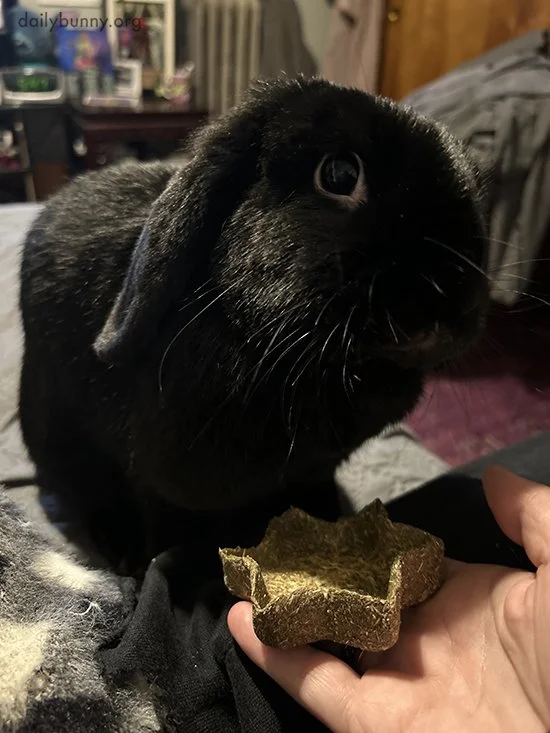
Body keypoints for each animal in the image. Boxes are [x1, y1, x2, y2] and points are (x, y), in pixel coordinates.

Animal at [19, 77, 489, 570]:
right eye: (339, 175)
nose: (449, 302)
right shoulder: (153, 482)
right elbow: (162, 526)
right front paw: (159, 563)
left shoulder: (315, 469)